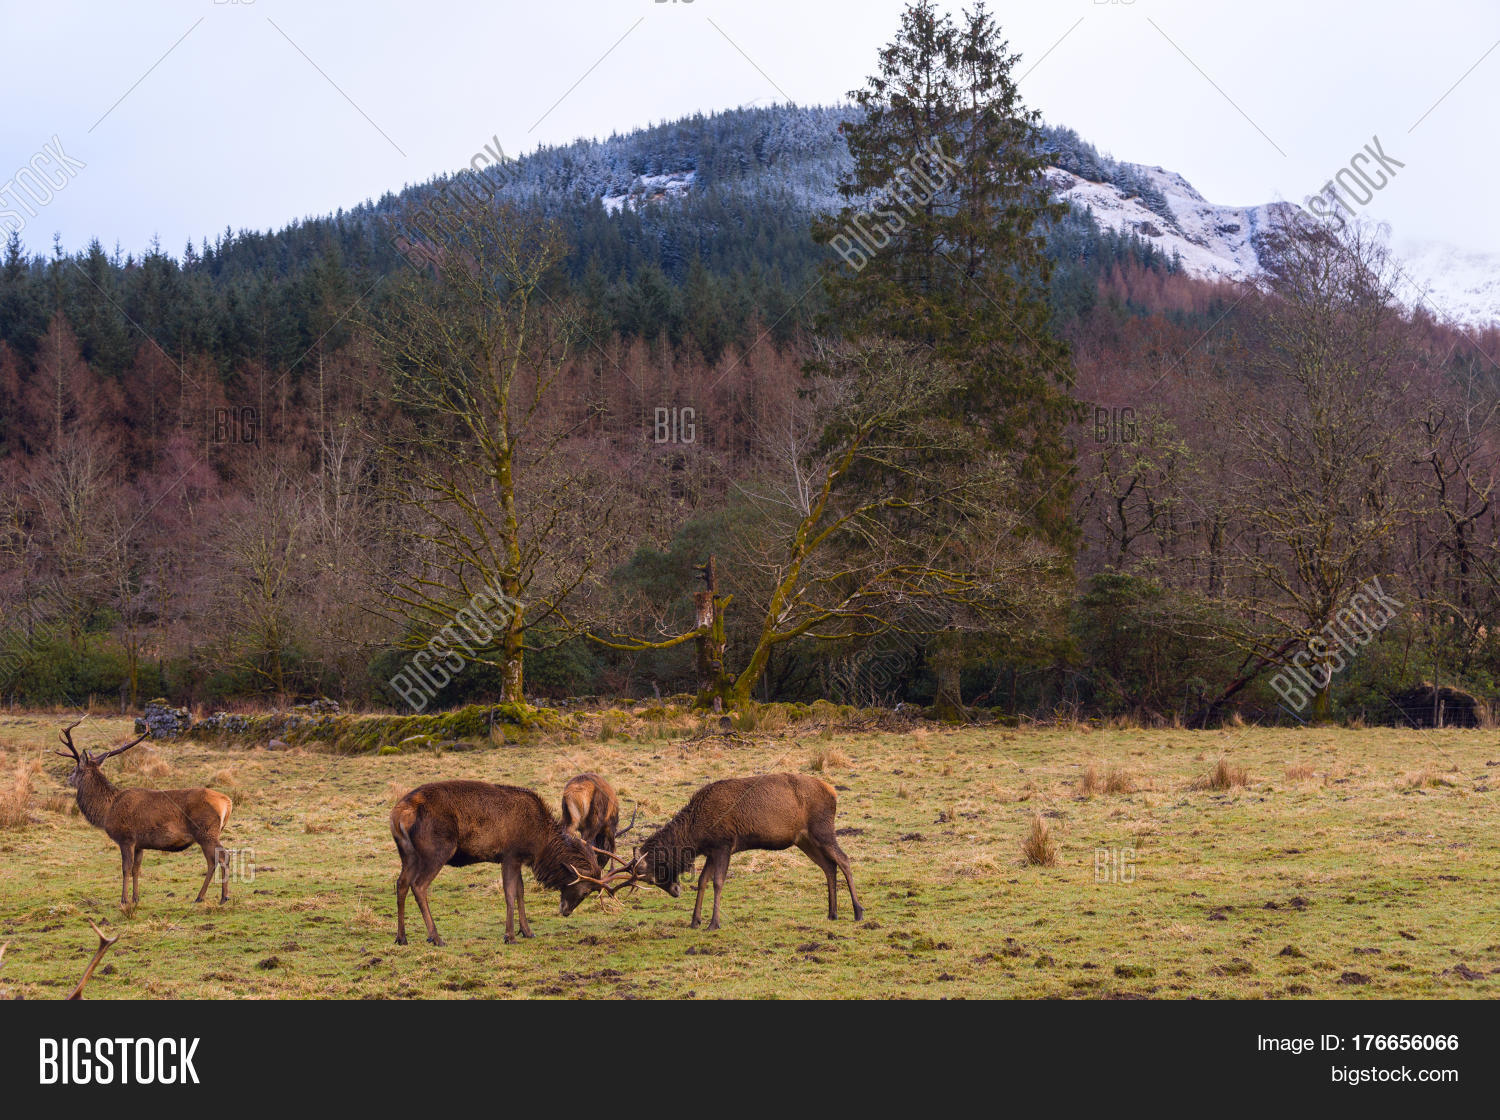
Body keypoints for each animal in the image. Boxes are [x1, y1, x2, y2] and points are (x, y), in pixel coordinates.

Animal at [55, 719, 234, 908]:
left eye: (75, 770)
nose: (68, 779)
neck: (107, 810)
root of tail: (227, 802)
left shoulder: (126, 838)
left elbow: (125, 868)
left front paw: (123, 900)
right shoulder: (140, 844)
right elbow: (136, 869)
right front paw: (136, 898)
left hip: (205, 831)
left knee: (221, 857)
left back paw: (219, 897)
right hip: (209, 833)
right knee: (214, 860)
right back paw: (206, 896)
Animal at [390, 780, 604, 946]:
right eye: (586, 891)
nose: (566, 911)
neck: (540, 843)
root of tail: (400, 814)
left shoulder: (517, 859)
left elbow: (520, 892)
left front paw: (527, 931)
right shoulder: (510, 855)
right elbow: (509, 893)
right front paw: (509, 936)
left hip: (408, 854)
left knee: (401, 883)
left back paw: (401, 938)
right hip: (437, 850)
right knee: (418, 885)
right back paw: (436, 937)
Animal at [592, 772, 864, 931]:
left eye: (652, 874)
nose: (675, 891)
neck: (696, 831)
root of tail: (833, 791)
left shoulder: (724, 844)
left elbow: (718, 882)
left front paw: (714, 923)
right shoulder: (712, 850)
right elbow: (702, 881)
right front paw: (694, 921)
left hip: (822, 828)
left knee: (844, 860)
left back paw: (858, 911)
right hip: (804, 838)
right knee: (829, 866)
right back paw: (832, 913)